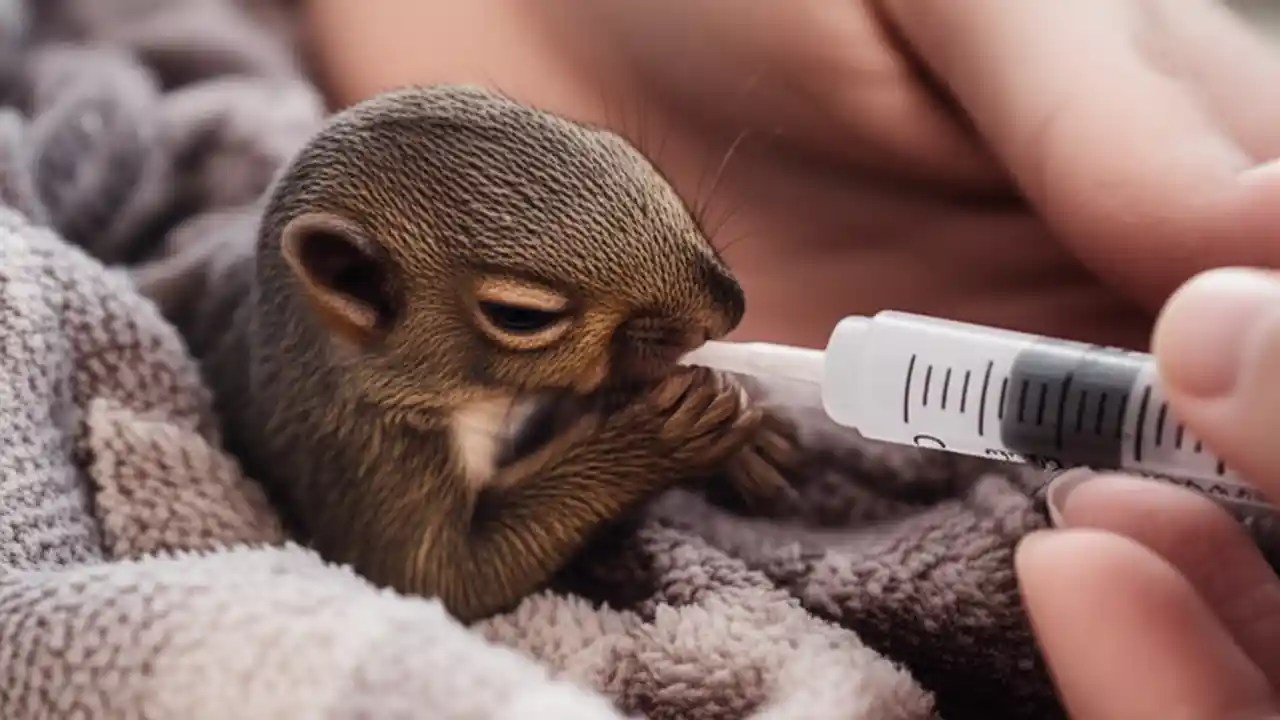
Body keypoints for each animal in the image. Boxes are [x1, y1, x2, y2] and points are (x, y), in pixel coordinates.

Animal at [147, 84, 796, 622]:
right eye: (520, 316)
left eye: (628, 150)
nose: (729, 309)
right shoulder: (364, 462)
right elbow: (443, 577)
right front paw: (660, 436)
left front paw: (752, 437)